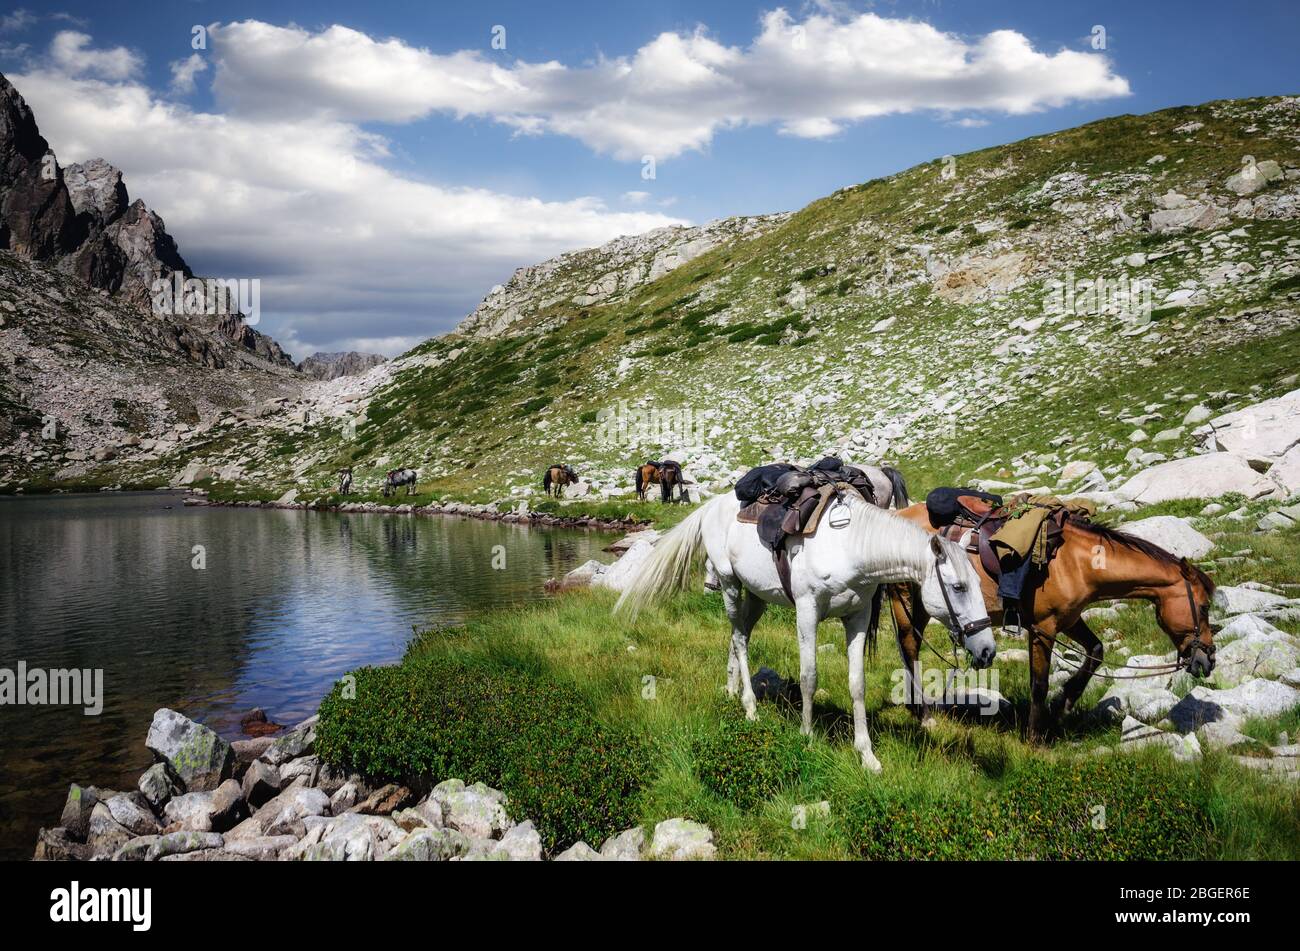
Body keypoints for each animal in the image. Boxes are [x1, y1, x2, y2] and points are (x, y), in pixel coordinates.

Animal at [615, 491, 995, 771]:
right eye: (958, 587)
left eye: (978, 583)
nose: (987, 650)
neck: (850, 546)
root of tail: (712, 505)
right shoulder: (808, 611)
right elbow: (809, 676)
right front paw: (807, 736)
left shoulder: (857, 617)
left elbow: (857, 683)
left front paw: (867, 755)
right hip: (730, 585)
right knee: (739, 639)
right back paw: (749, 707)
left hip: (757, 596)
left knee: (737, 637)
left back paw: (732, 690)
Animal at [885, 501, 1218, 743]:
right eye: (1203, 607)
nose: (1208, 660)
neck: (1078, 563)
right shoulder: (1043, 627)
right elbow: (1039, 683)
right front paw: (1035, 735)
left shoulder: (1069, 620)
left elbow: (1096, 651)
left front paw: (1062, 706)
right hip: (906, 601)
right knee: (910, 647)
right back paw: (921, 713)